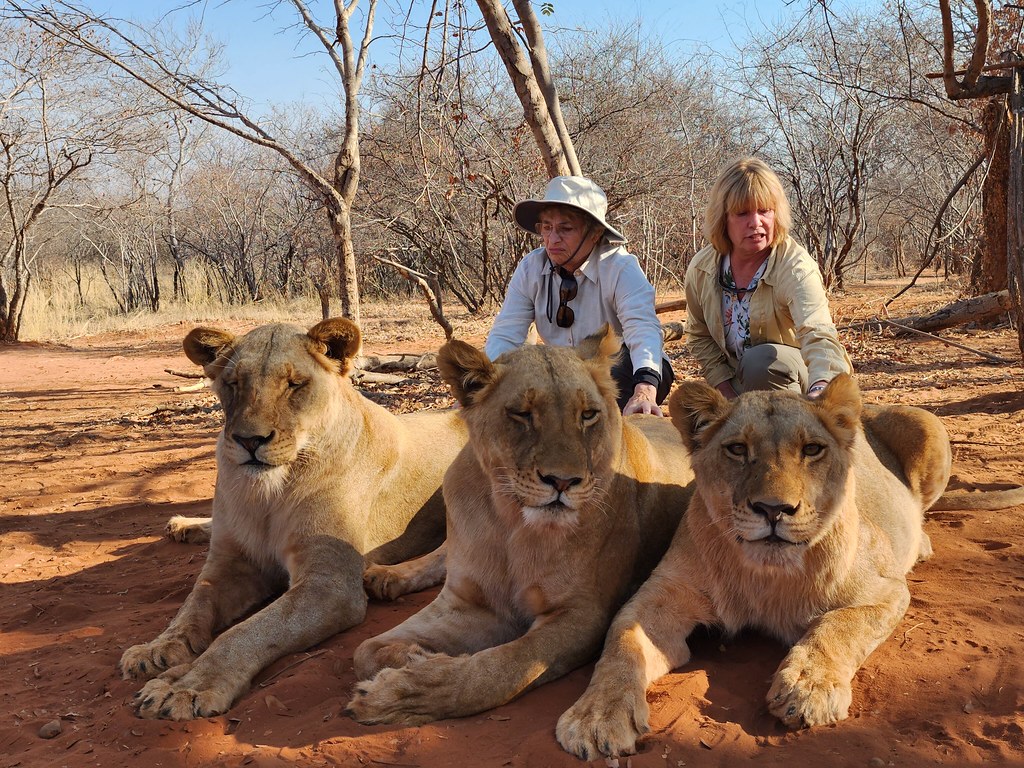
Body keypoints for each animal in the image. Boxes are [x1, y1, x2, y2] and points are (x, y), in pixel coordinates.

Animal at [119, 318, 467, 720]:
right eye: (233, 383)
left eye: (295, 384)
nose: (249, 440)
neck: (270, 493)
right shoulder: (230, 562)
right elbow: (193, 604)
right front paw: (156, 649)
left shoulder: (330, 585)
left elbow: (246, 632)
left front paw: (186, 685)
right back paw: (183, 525)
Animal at [344, 327, 694, 725]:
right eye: (522, 415)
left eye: (588, 415)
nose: (563, 481)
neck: (511, 524)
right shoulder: (467, 603)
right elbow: (366, 650)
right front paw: (419, 660)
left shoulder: (583, 614)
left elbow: (502, 669)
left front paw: (403, 689)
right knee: (441, 555)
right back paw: (384, 576)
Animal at [557, 374, 1021, 760]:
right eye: (737, 449)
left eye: (812, 449)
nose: (773, 509)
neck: (767, 574)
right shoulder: (662, 593)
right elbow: (621, 640)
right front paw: (596, 717)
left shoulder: (886, 589)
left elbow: (839, 625)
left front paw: (808, 688)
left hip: (926, 424)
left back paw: (921, 542)